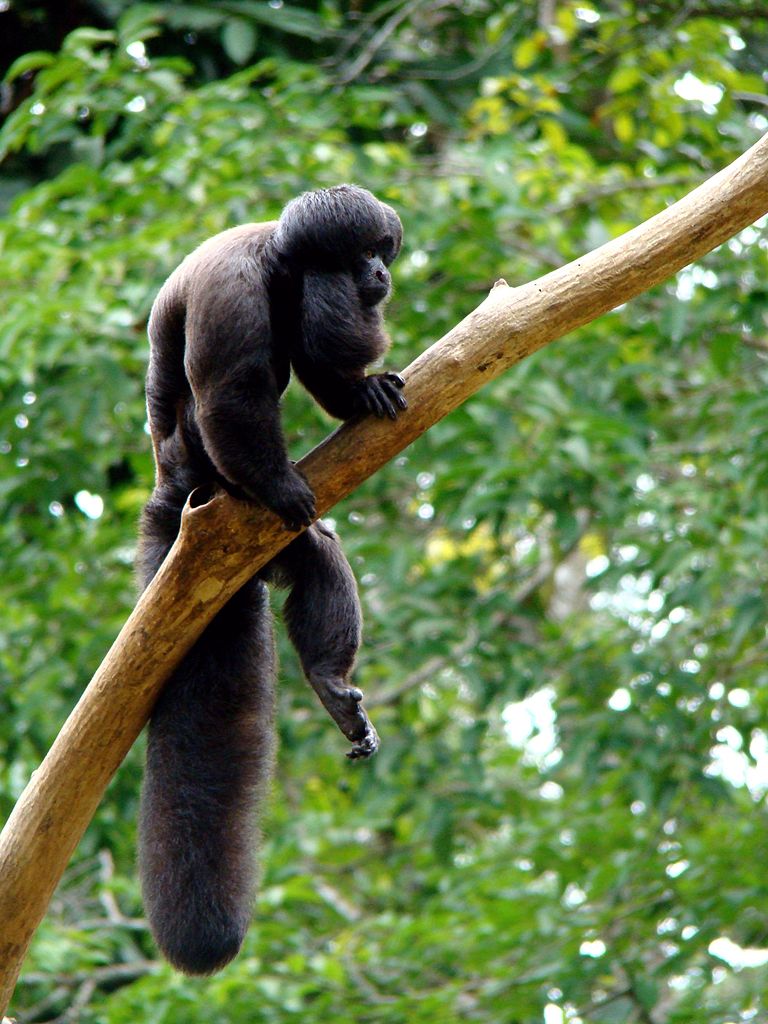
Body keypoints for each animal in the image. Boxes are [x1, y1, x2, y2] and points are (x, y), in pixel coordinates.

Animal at [135, 185, 406, 976]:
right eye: (362, 253)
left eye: (382, 250)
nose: (379, 273)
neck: (287, 265)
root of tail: (172, 501)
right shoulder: (233, 291)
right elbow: (231, 394)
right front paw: (285, 486)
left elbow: (319, 370)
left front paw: (361, 394)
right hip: (200, 478)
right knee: (221, 414)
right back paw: (258, 491)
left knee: (316, 560)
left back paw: (330, 682)